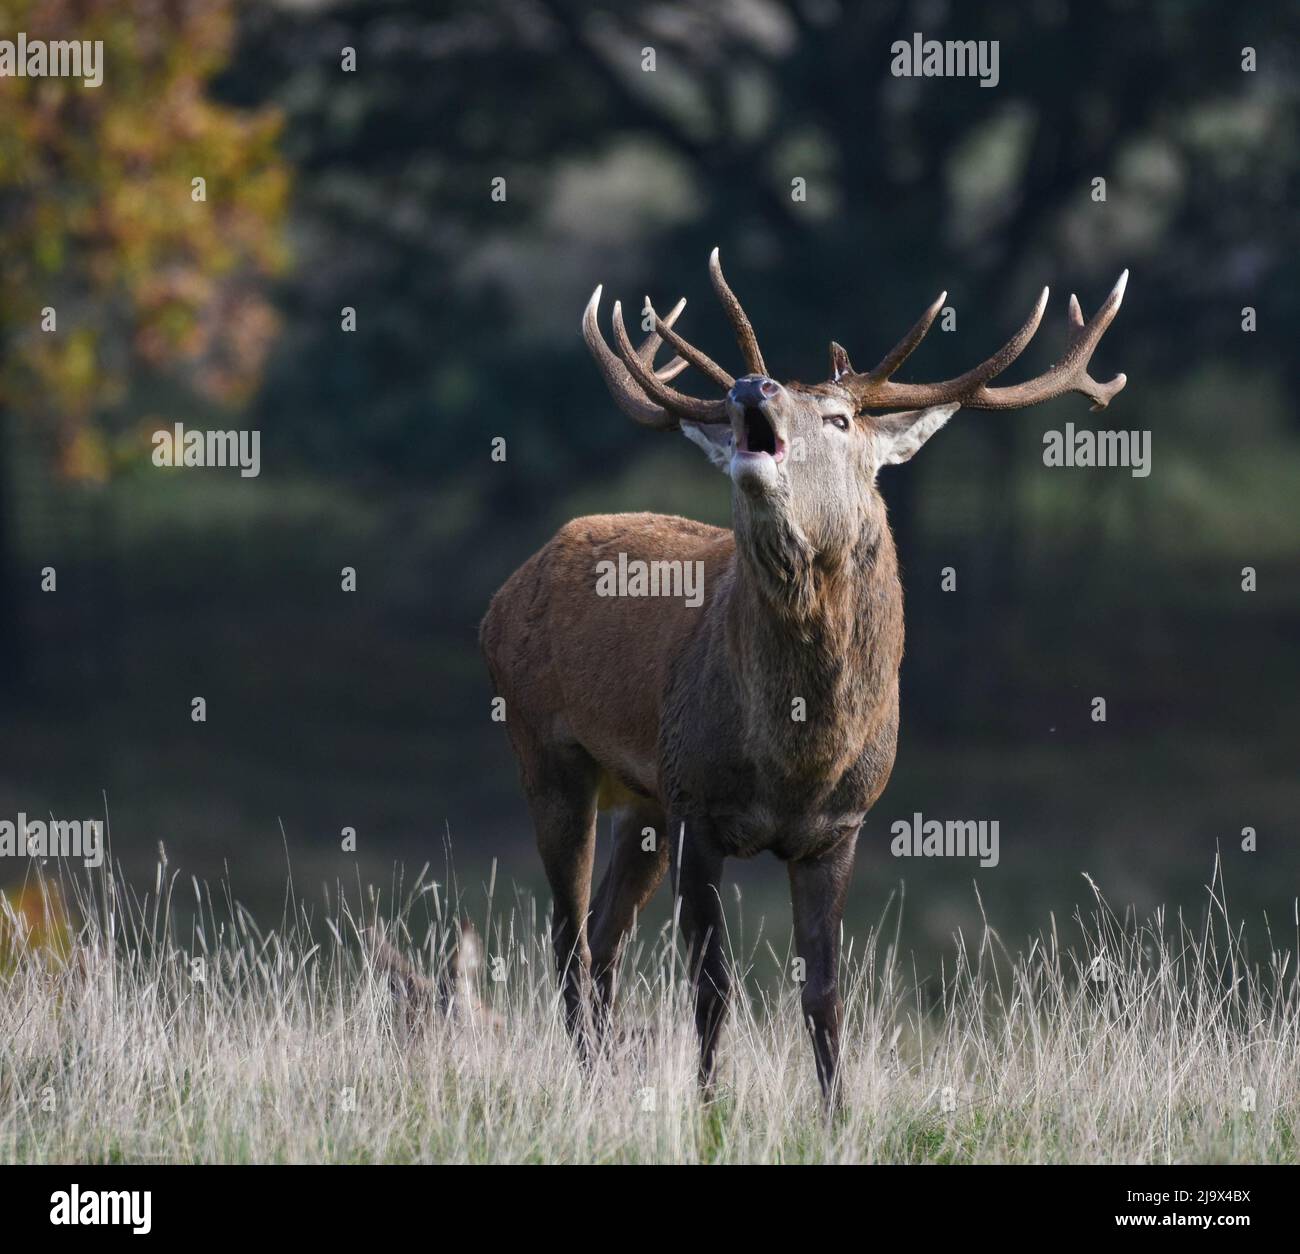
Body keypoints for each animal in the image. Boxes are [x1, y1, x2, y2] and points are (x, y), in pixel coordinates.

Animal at [480, 251, 1127, 1100]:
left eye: (841, 420)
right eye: (741, 402)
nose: (749, 390)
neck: (796, 758)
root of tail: (504, 590)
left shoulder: (838, 828)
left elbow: (823, 991)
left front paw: (836, 1110)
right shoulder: (699, 806)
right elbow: (712, 984)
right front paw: (710, 1105)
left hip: (642, 800)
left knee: (600, 933)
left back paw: (607, 1077)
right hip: (549, 754)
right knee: (568, 936)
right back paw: (591, 1080)